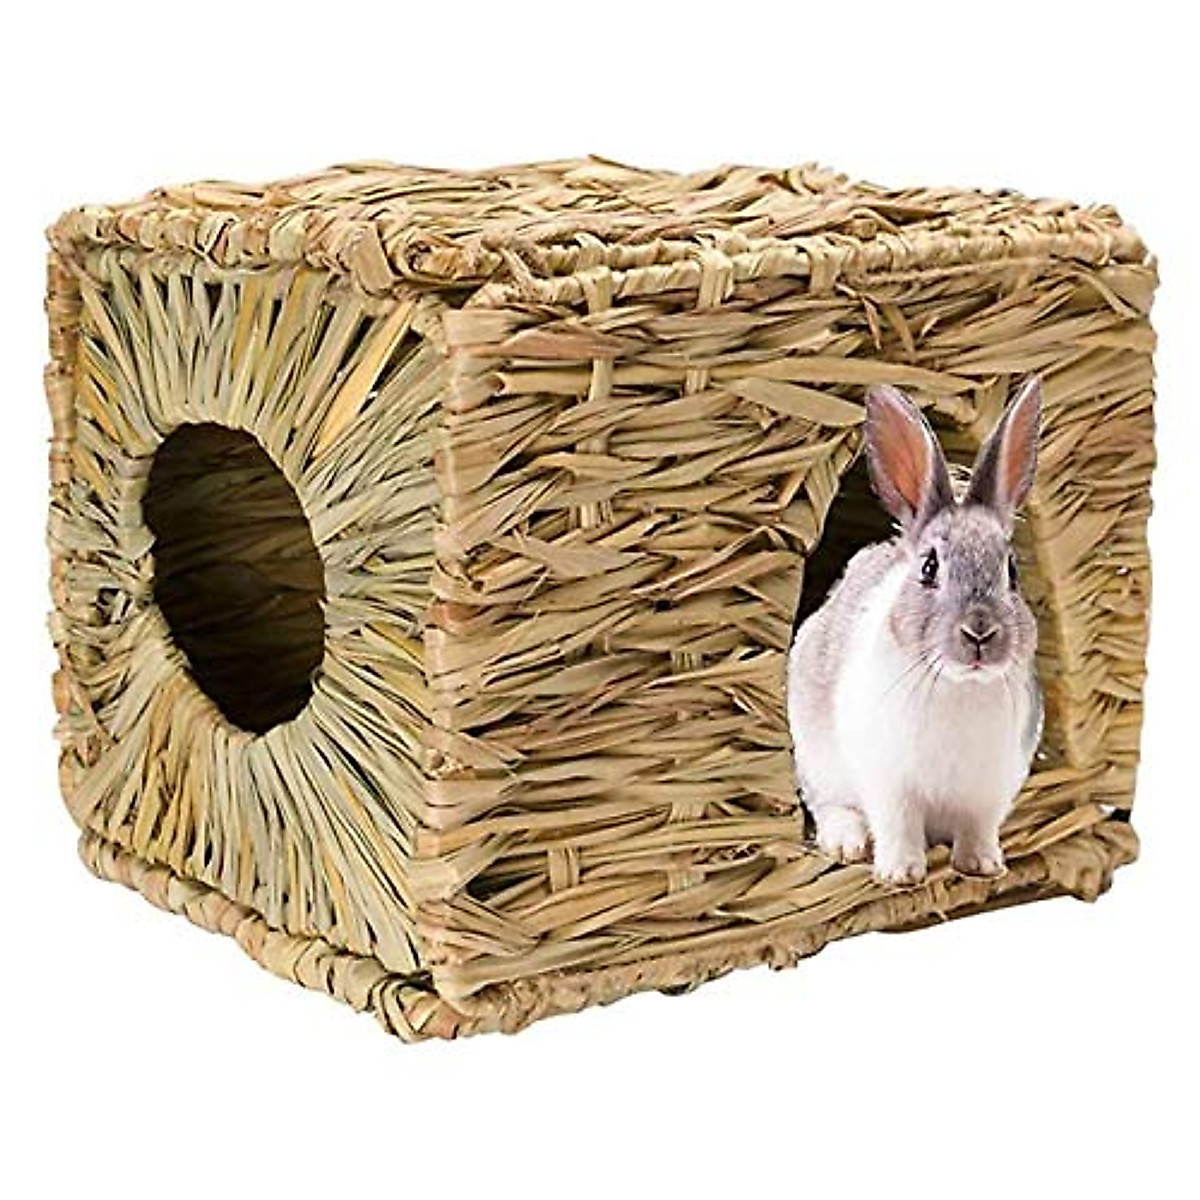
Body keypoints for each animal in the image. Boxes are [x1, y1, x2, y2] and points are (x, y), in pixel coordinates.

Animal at [787, 376, 1044, 887]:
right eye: (928, 568)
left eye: (1011, 570)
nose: (979, 633)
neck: (959, 685)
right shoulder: (891, 786)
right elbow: (899, 826)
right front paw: (901, 874)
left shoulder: (988, 792)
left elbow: (978, 828)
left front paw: (984, 866)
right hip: (816, 757)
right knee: (829, 805)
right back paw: (845, 842)